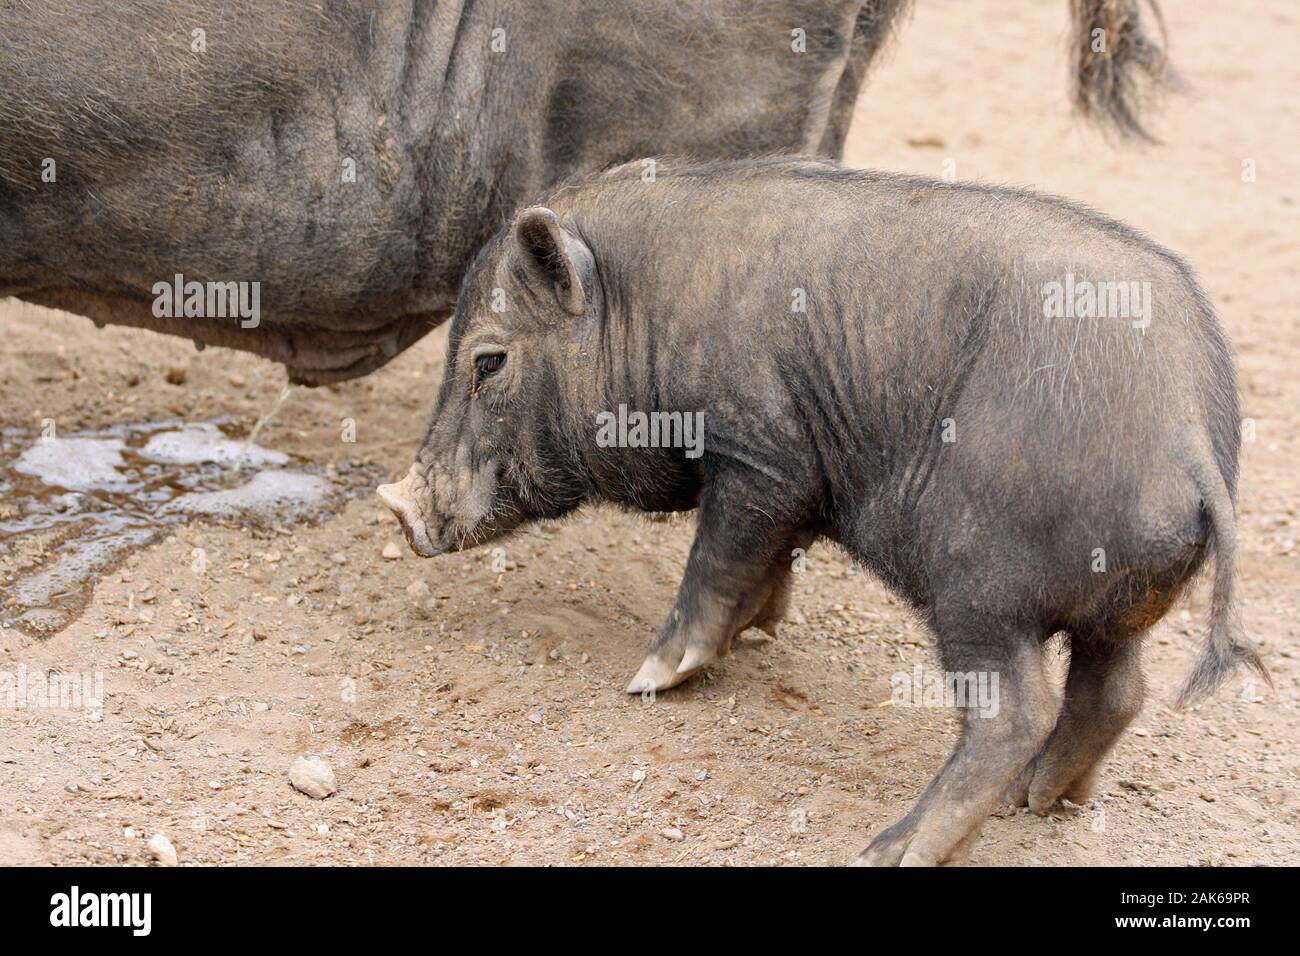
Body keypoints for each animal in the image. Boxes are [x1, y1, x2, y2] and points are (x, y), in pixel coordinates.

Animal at [377, 156, 1266, 865]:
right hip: (1122, 601)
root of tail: (1189, 434)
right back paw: (1043, 799)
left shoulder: (760, 454)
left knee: (1015, 711)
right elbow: (768, 565)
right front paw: (757, 633)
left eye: (489, 361)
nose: (400, 511)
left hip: (978, 582)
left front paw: (647, 680)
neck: (646, 306)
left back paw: (891, 850)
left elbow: (715, 563)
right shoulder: (801, 484)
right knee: (1116, 692)